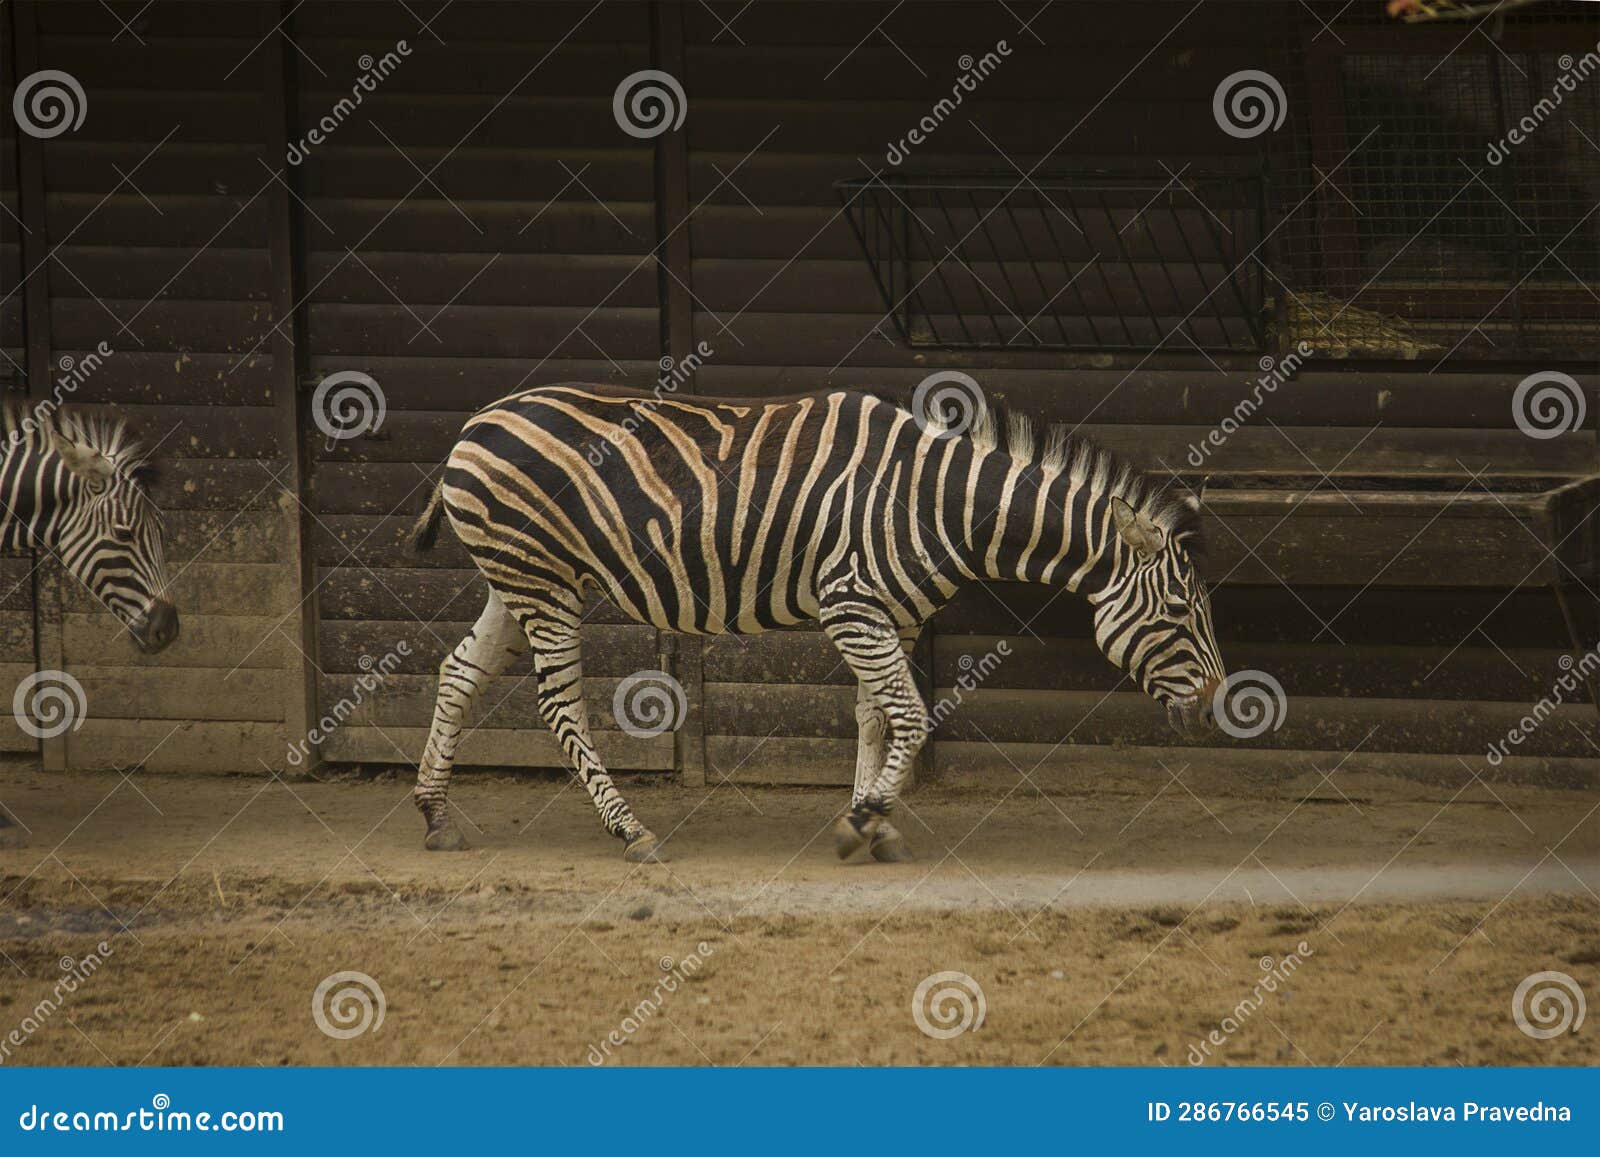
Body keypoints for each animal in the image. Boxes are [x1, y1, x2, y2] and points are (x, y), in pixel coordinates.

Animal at [409, 383, 1226, 864]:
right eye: (1179, 613)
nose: (1221, 704)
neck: (938, 503)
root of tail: (479, 418)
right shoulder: (852, 605)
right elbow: (914, 716)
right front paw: (864, 820)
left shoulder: (890, 615)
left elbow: (877, 717)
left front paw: (872, 815)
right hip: (543, 582)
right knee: (559, 704)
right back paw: (630, 829)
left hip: (516, 579)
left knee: (458, 673)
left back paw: (435, 814)